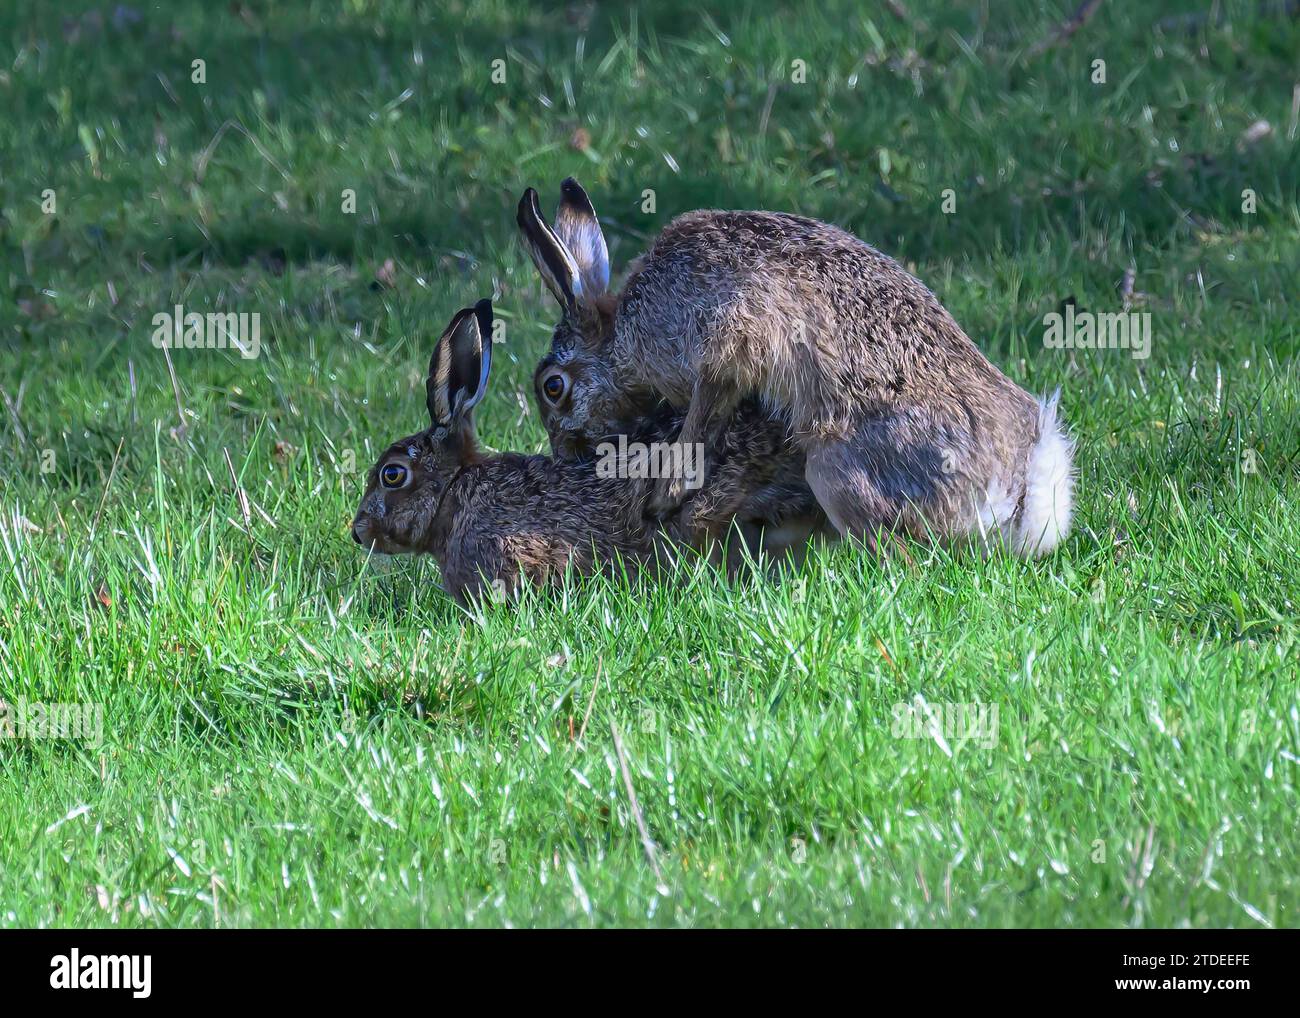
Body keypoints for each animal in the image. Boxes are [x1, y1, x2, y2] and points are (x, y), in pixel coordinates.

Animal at [517, 178, 1075, 558]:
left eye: (553, 387)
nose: (564, 454)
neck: (620, 338)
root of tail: (1018, 488)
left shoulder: (725, 345)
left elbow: (702, 422)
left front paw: (666, 492)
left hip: (835, 471)